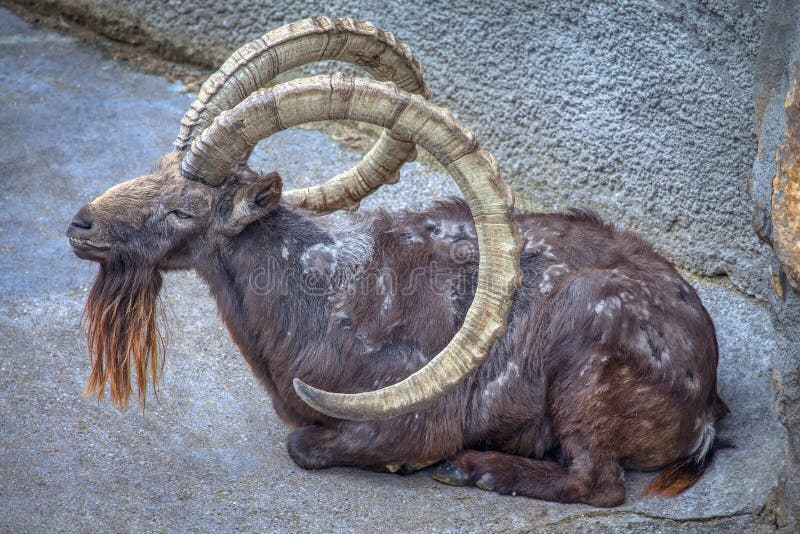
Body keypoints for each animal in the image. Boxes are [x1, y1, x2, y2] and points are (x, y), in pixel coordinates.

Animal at [65, 18, 727, 507]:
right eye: (154, 168)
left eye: (185, 208)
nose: (81, 225)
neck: (317, 289)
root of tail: (706, 402)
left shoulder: (405, 417)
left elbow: (305, 445)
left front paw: (412, 463)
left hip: (585, 358)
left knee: (599, 482)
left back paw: (479, 469)